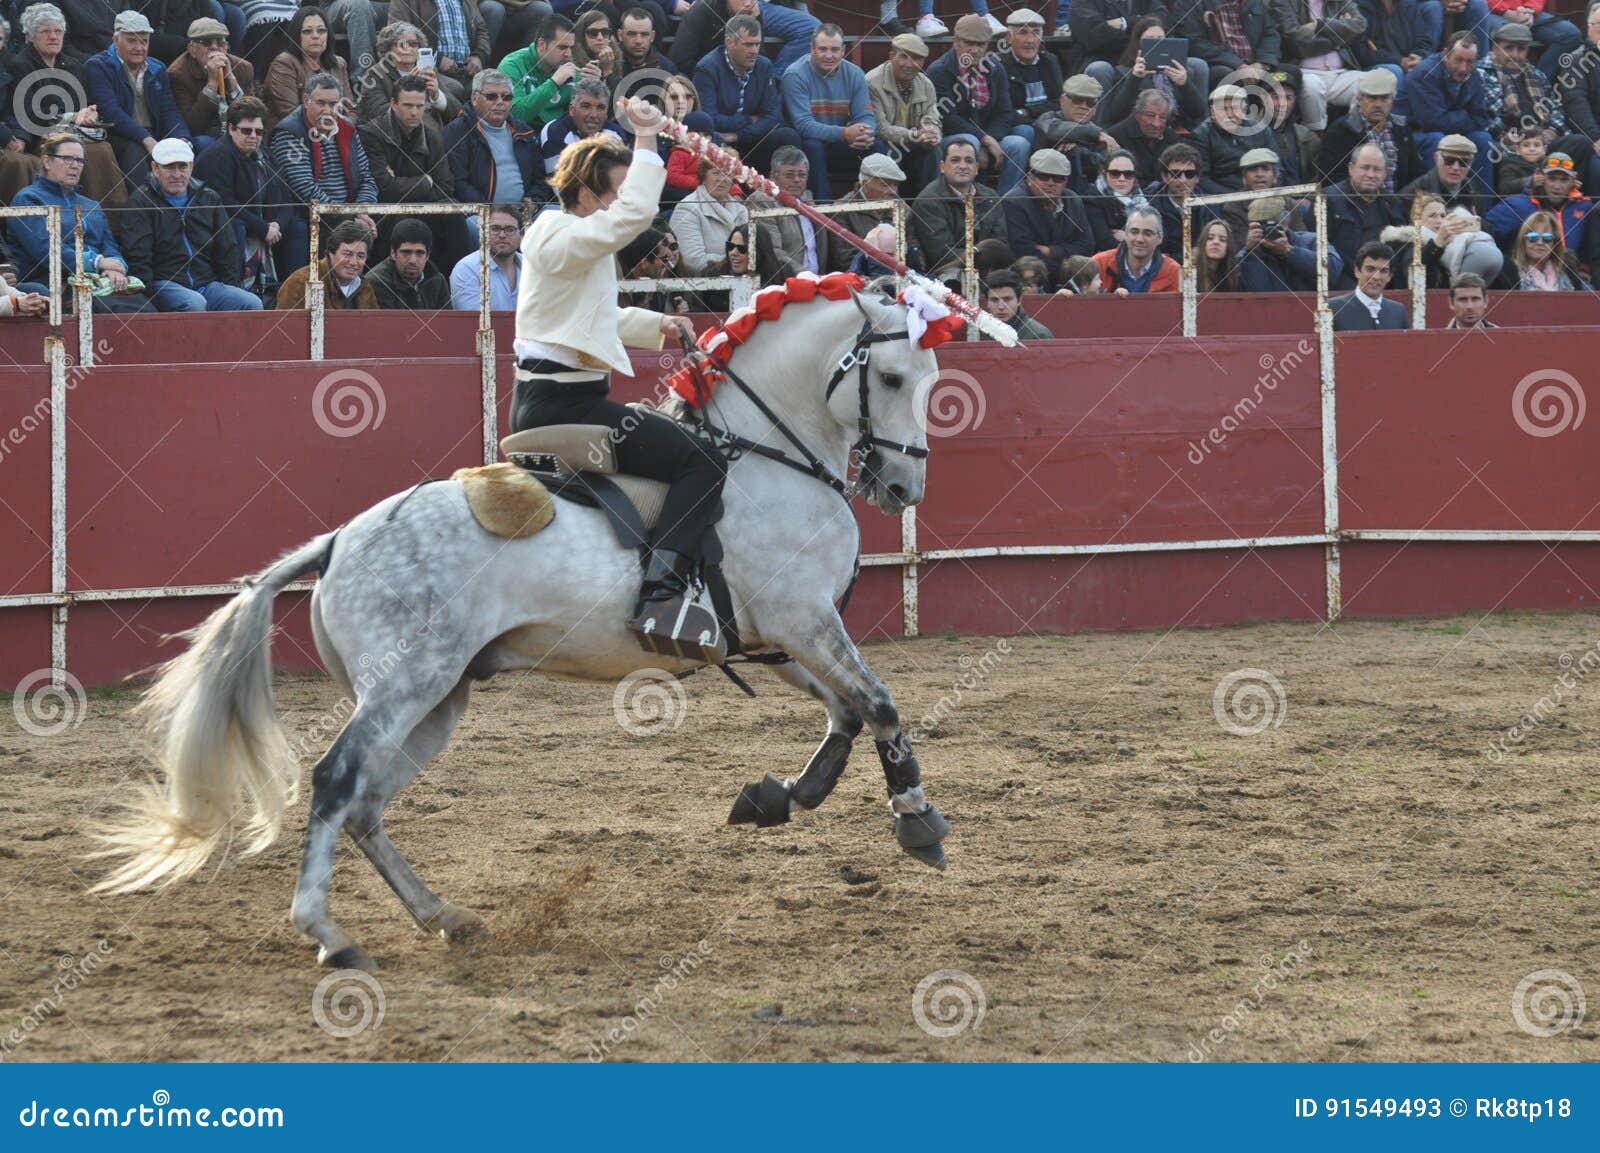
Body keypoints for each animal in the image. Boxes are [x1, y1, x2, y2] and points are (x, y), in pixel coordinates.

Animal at [90, 283, 956, 971]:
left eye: (930, 380)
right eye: (890, 376)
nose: (904, 487)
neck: (766, 456)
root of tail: (340, 541)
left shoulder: (778, 639)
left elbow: (846, 708)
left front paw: (779, 795)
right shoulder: (803, 619)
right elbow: (880, 702)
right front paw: (916, 821)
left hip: (439, 702)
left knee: (366, 802)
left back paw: (443, 915)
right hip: (406, 686)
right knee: (337, 779)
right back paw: (329, 934)